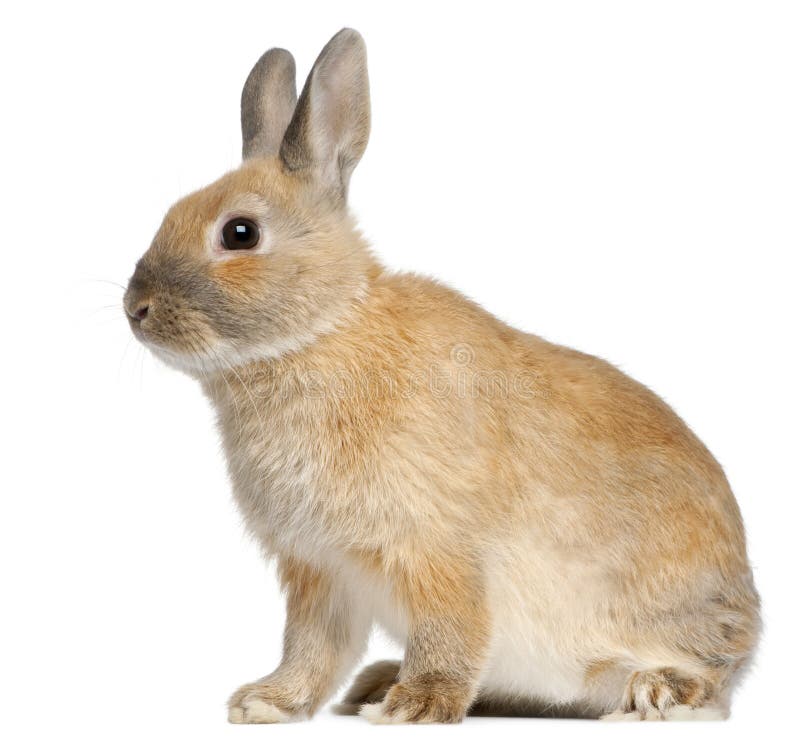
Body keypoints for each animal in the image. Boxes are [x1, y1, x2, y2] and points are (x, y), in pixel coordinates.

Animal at [123, 28, 760, 724]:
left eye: (240, 233)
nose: (137, 309)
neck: (323, 332)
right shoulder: (321, 568)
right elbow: (313, 646)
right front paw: (269, 702)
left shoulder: (435, 548)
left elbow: (448, 628)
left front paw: (418, 705)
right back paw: (376, 681)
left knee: (709, 680)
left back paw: (659, 691)